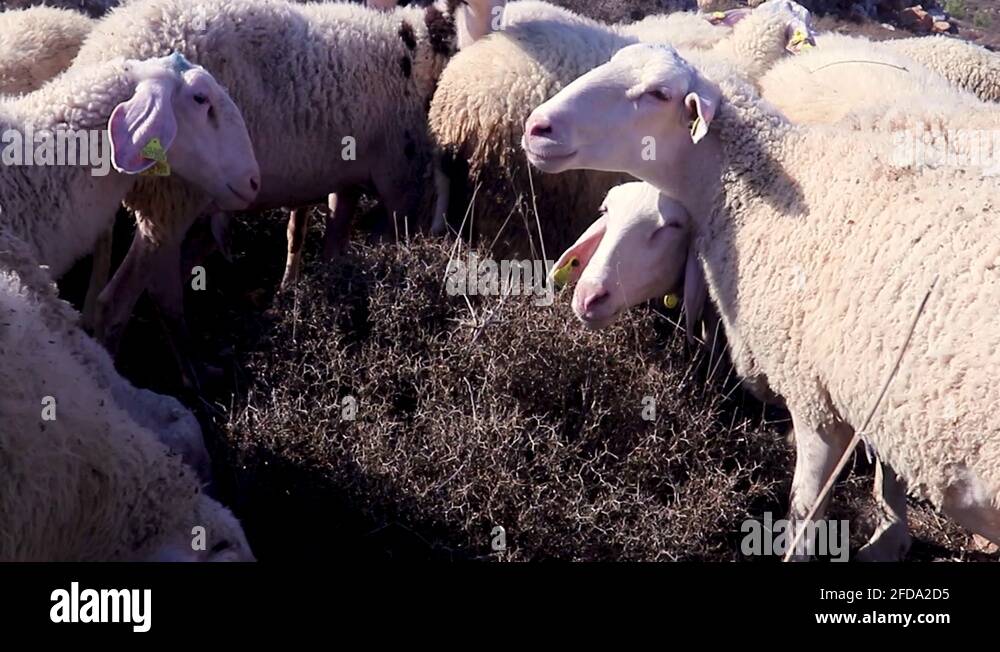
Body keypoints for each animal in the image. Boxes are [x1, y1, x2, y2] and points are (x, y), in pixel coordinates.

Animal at [67, 0, 503, 359]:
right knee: (130, 299)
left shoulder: (346, 177)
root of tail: (99, 51)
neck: (417, 54)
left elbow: (326, 238)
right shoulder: (400, 184)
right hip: (173, 195)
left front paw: (315, 290)